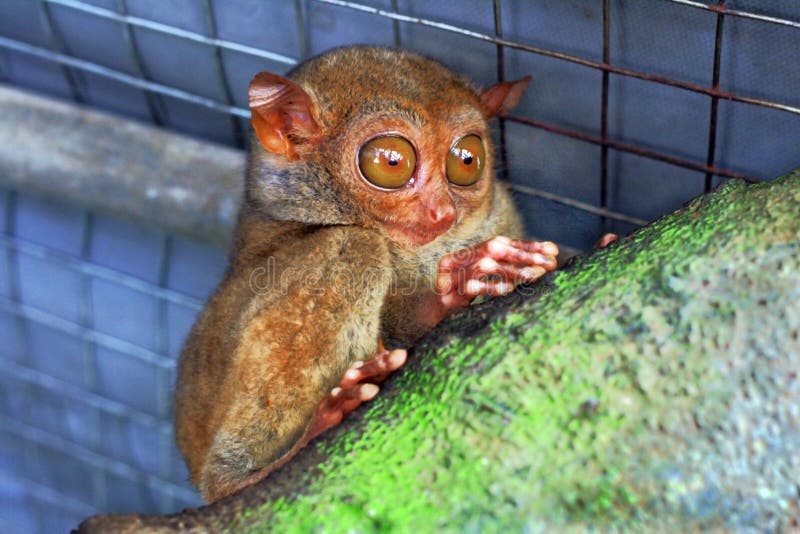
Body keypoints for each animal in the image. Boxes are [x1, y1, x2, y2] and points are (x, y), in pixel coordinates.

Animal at [174, 46, 560, 503]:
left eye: (467, 160)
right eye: (391, 162)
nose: (442, 212)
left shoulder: (502, 213)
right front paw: (458, 285)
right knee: (354, 246)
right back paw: (258, 466)